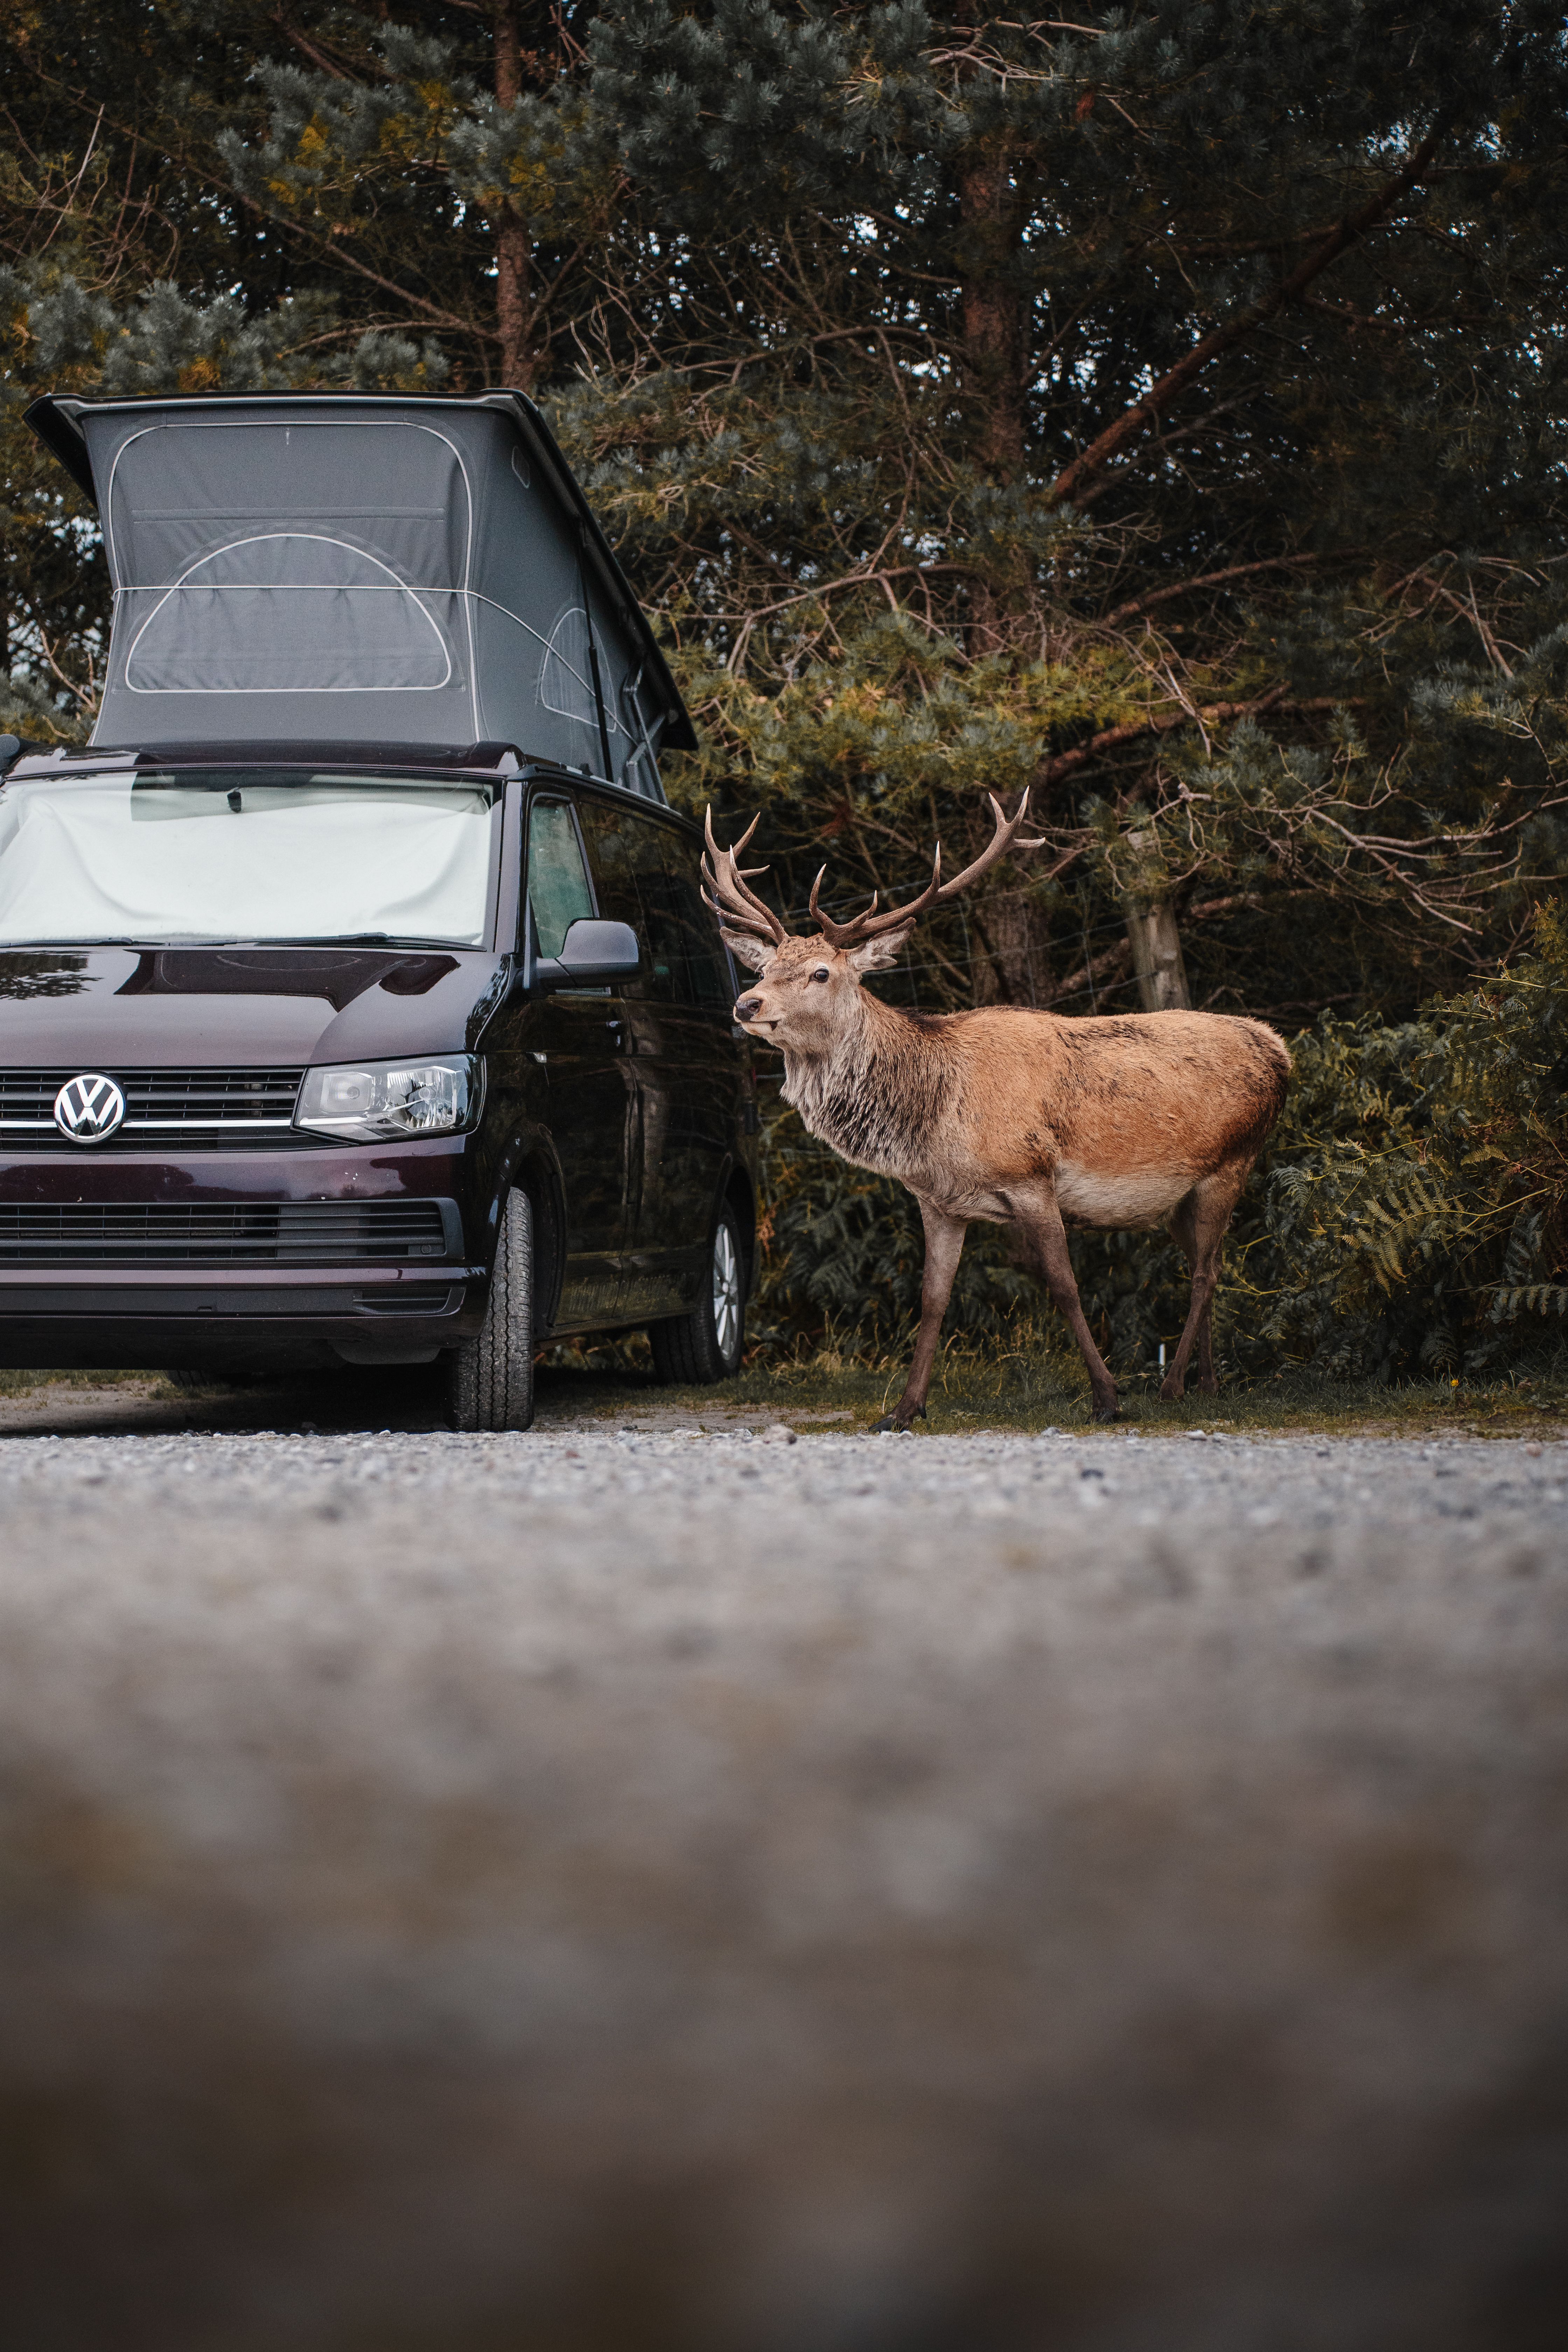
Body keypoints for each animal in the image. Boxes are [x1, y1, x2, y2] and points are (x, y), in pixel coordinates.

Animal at [703, 794, 1291, 1428]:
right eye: (764, 968)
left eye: (821, 972)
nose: (746, 1003)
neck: (935, 1121)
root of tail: (1277, 1047)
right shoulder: (938, 1202)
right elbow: (932, 1300)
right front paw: (903, 1409)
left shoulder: (1031, 1177)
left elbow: (1064, 1287)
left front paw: (1107, 1398)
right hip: (1180, 1198)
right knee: (1207, 1265)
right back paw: (1205, 1383)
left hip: (1230, 1163)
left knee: (1205, 1273)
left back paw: (1171, 1385)